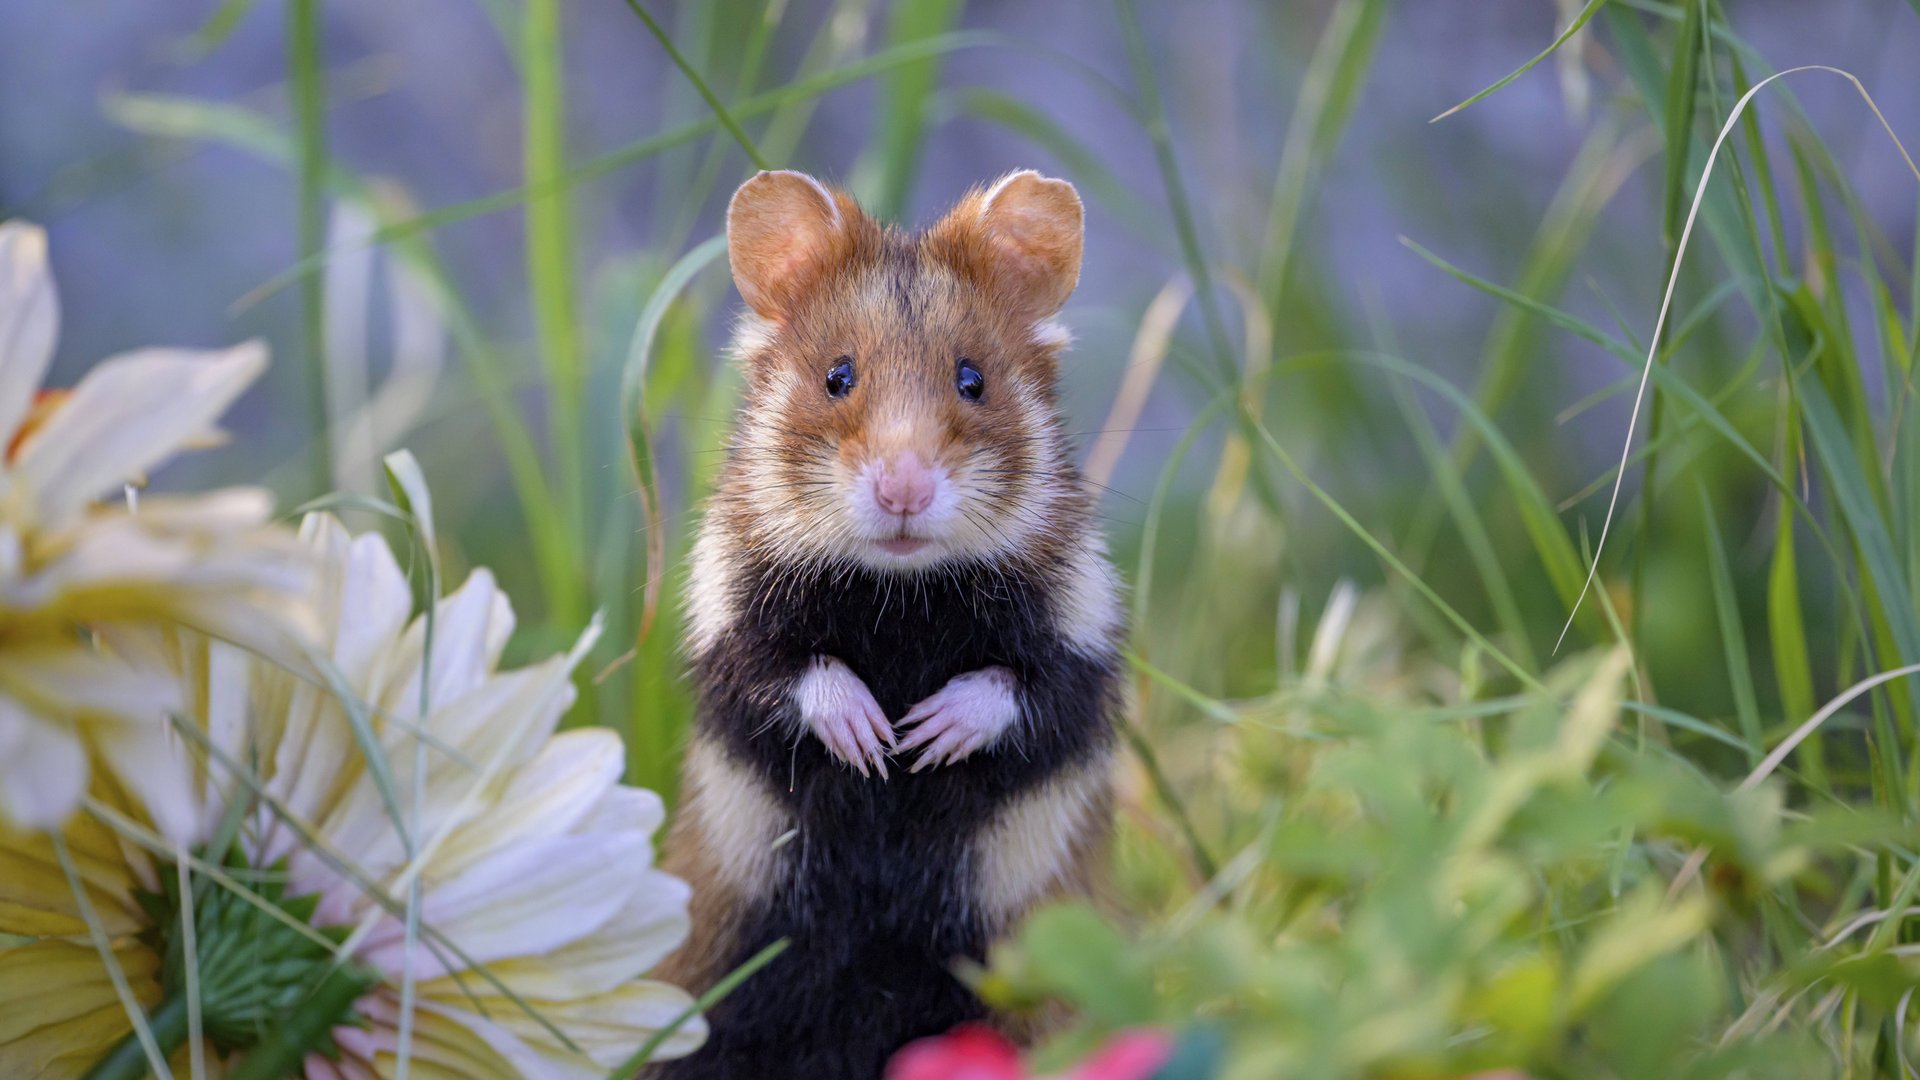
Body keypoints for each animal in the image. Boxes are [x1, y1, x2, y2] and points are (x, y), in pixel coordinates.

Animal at [649, 169, 1126, 1080]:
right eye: (838, 375)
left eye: (973, 379)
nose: (903, 488)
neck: (900, 599)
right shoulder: (728, 627)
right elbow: (788, 671)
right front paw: (874, 739)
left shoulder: (1081, 643)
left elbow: (1020, 688)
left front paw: (927, 735)